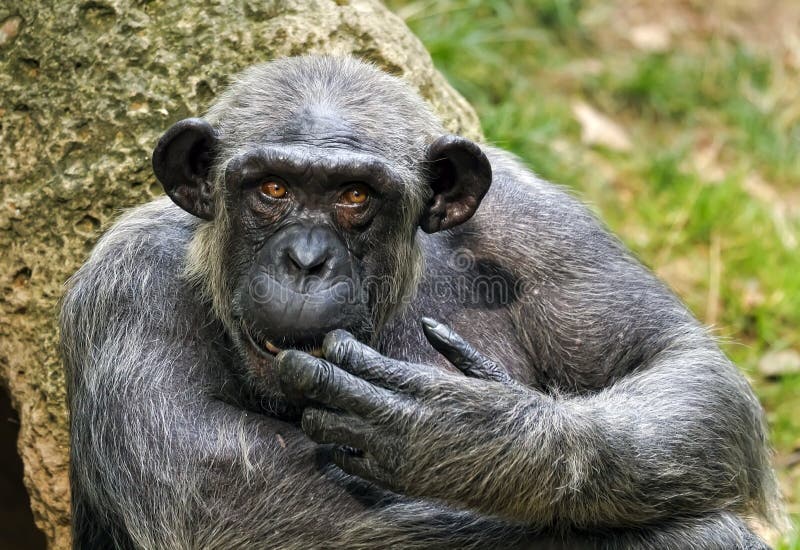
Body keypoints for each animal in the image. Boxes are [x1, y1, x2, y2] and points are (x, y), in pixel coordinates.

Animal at [60, 55, 783, 549]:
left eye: (355, 195)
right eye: (272, 188)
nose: (306, 260)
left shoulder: (543, 224)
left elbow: (677, 362)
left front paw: (471, 438)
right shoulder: (127, 289)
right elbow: (223, 487)